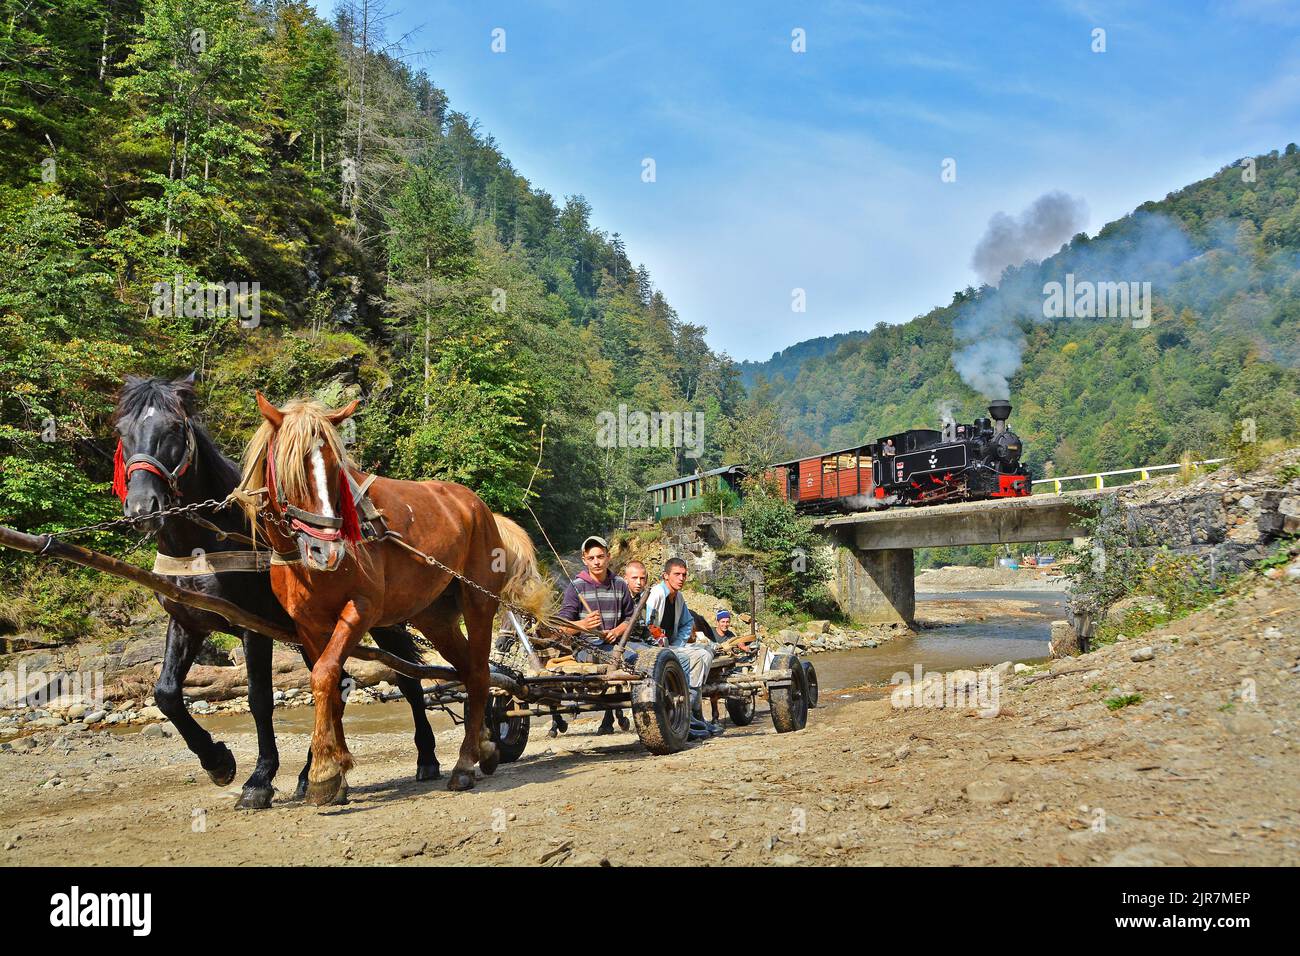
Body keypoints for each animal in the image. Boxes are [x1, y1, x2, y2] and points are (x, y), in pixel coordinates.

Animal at [112, 373, 441, 808]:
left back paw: (426, 757)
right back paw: (315, 775)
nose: (142, 507)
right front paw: (218, 762)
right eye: (122, 432)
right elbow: (165, 693)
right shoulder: (187, 622)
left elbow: (259, 700)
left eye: (175, 428)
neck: (205, 543)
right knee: (338, 682)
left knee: (407, 677)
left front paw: (259, 779)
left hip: (379, 622)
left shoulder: (254, 629)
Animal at [235, 393, 550, 800]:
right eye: (292, 470)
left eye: (336, 470)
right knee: (467, 670)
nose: (327, 551)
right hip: (434, 617)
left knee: (481, 674)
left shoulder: (361, 610)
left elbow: (324, 675)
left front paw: (322, 772)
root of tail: (481, 509)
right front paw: (337, 770)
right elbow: (331, 683)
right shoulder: (308, 625)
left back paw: (465, 763)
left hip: (478, 601)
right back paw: (483, 743)